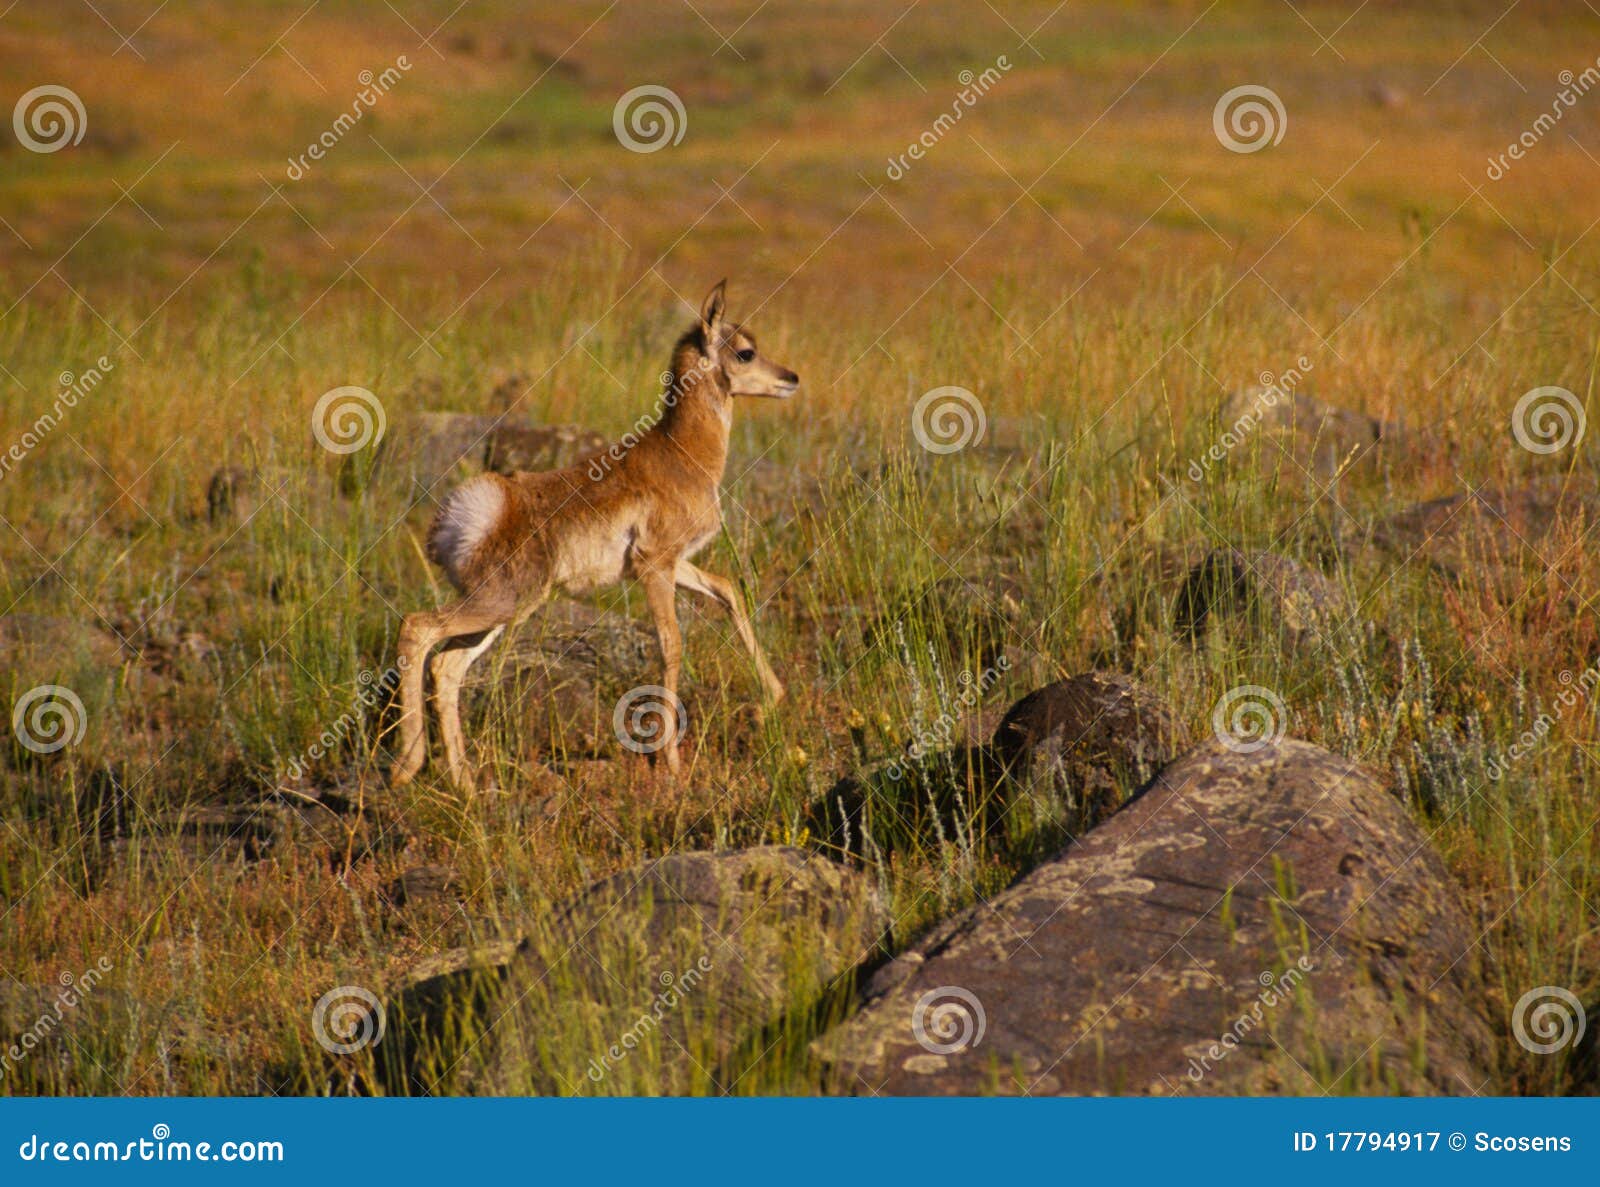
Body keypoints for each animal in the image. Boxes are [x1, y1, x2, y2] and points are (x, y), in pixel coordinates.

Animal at [390, 281, 798, 788]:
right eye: (745, 352)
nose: (791, 378)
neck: (680, 451)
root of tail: (485, 503)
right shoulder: (655, 567)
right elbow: (671, 645)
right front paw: (672, 764)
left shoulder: (672, 563)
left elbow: (728, 591)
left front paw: (772, 699)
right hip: (499, 603)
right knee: (418, 627)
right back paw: (406, 767)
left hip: (502, 612)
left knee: (446, 667)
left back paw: (467, 786)